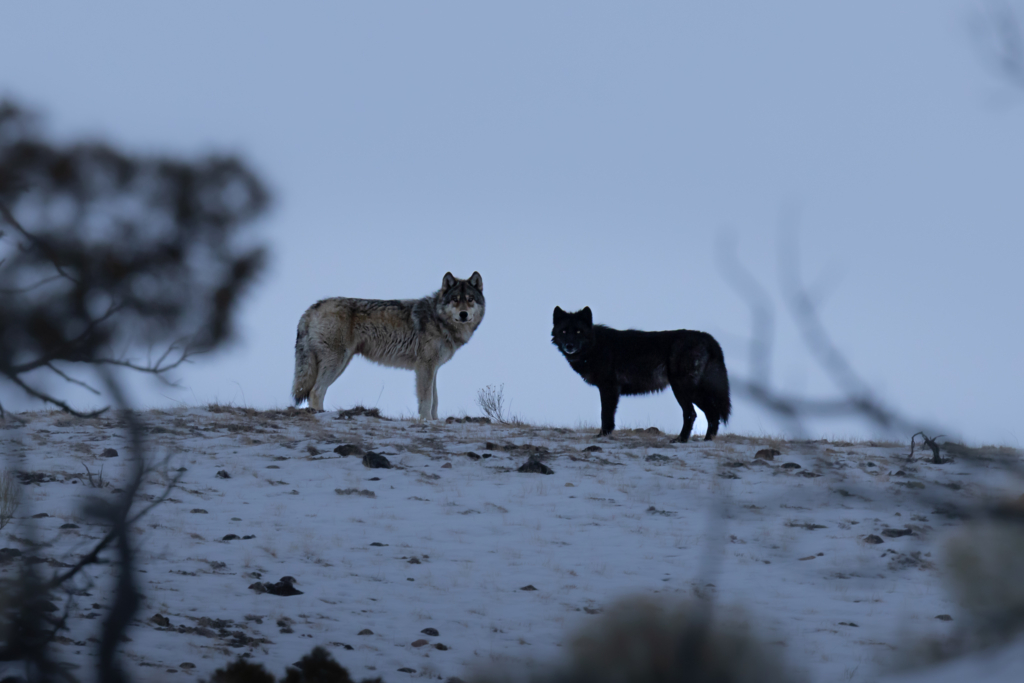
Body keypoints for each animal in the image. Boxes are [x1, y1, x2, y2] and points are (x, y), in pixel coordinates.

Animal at [292, 272, 484, 418]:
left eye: (470, 299)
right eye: (455, 299)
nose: (464, 314)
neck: (438, 320)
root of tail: (312, 308)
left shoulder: (433, 368)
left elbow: (435, 400)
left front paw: (435, 422)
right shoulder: (425, 367)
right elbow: (427, 400)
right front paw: (426, 421)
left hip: (340, 364)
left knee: (316, 391)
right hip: (336, 363)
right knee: (316, 391)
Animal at [551, 306, 730, 442]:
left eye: (578, 332)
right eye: (564, 331)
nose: (569, 346)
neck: (595, 346)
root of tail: (707, 338)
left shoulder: (609, 388)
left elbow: (605, 414)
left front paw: (602, 436)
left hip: (682, 389)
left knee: (691, 414)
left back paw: (681, 440)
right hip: (695, 391)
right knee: (712, 414)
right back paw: (707, 441)